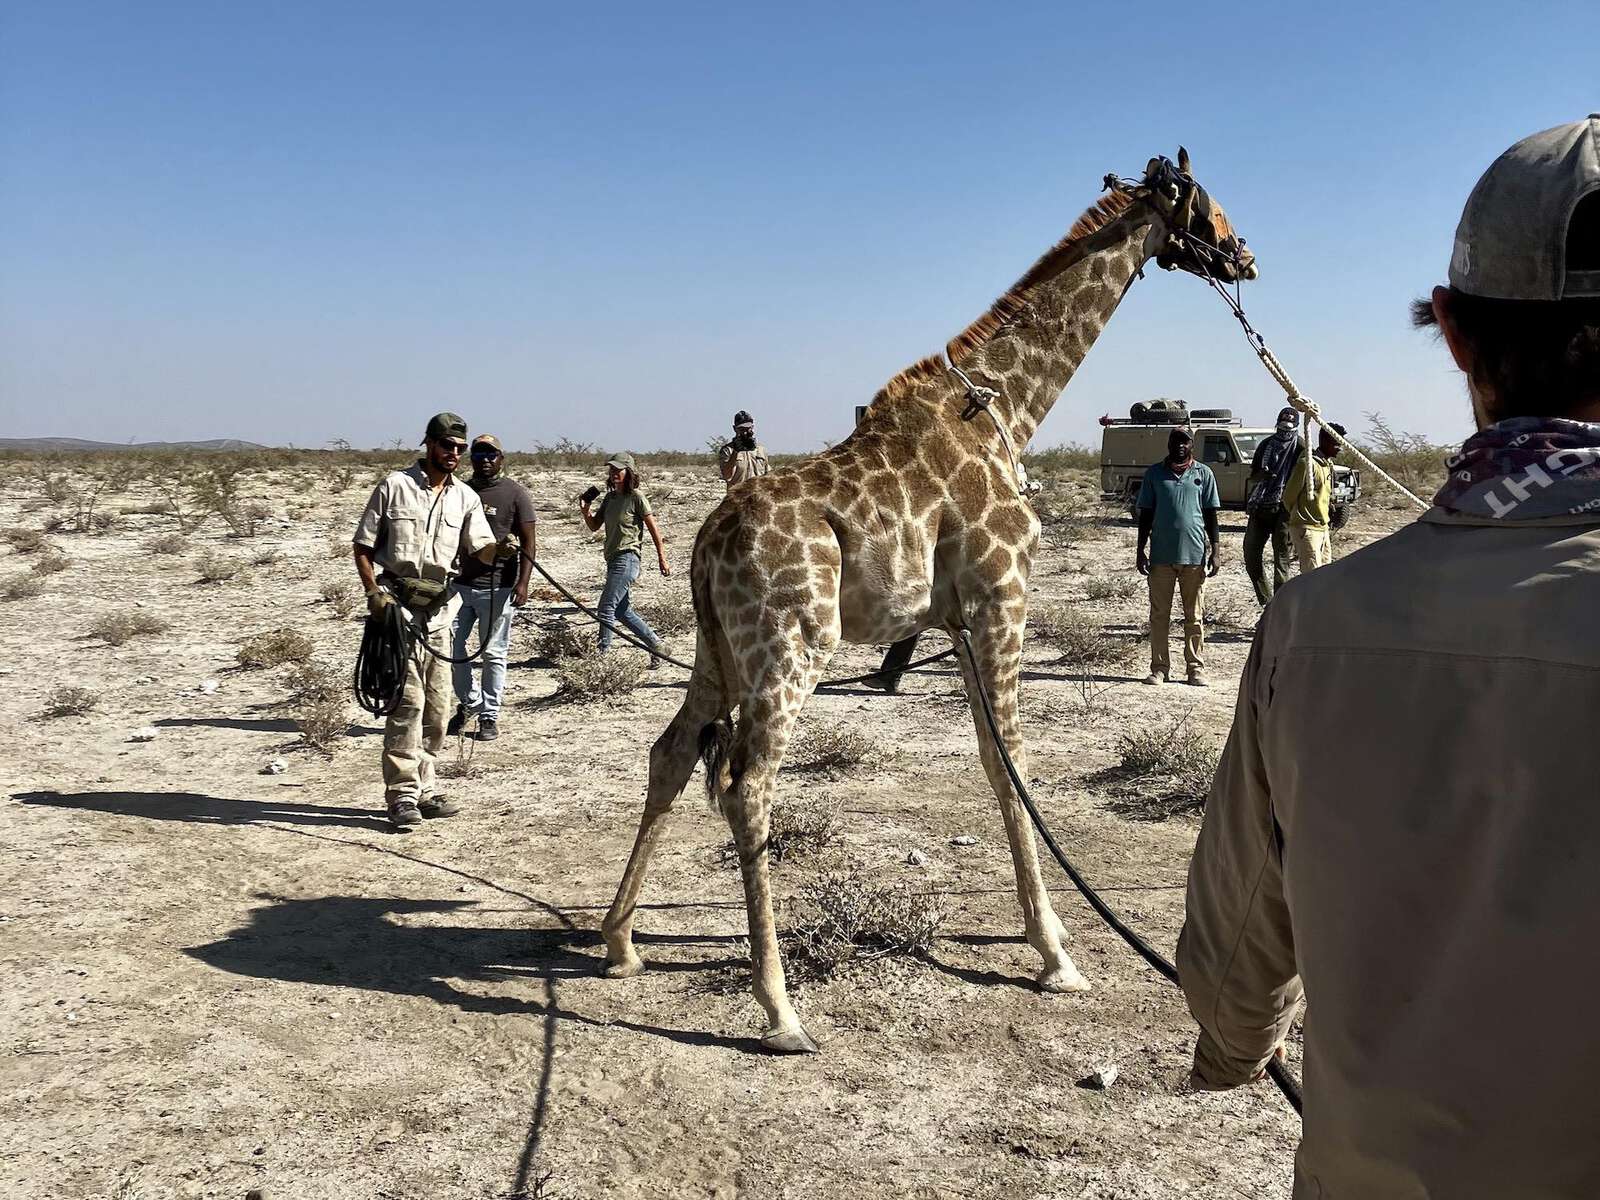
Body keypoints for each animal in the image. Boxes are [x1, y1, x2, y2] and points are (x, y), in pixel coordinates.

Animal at [601, 149, 1257, 1053]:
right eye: (1206, 199)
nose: (1245, 257)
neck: (1007, 409)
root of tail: (706, 542)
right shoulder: (1002, 597)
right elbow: (1013, 763)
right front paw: (1057, 955)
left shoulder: (961, 618)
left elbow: (991, 759)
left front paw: (1045, 937)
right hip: (790, 644)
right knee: (747, 783)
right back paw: (779, 1008)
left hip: (717, 646)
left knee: (670, 752)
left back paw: (620, 942)